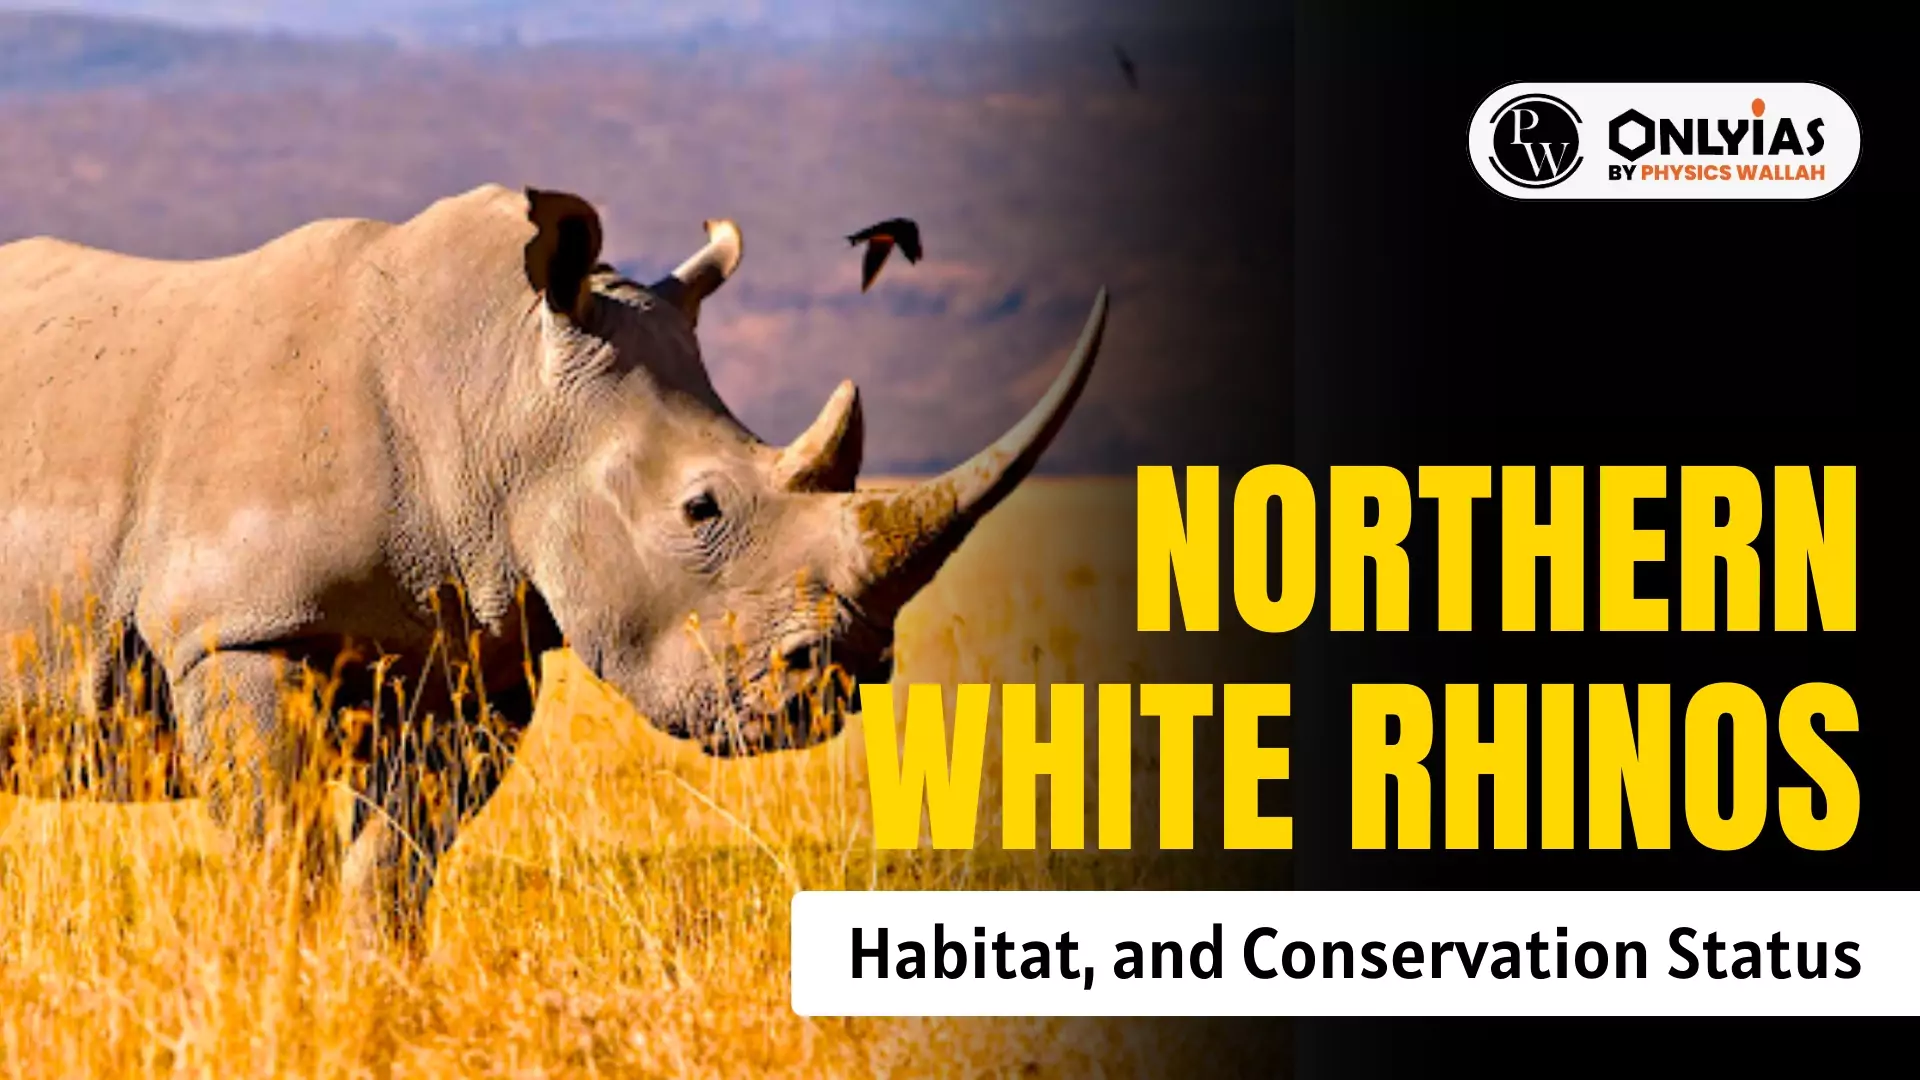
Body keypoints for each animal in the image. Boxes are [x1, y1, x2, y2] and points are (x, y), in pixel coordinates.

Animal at [0, 183, 1106, 943]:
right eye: (700, 508)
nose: (838, 680)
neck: (495, 387)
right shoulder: (239, 629)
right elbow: (284, 849)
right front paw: (286, 974)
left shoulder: (474, 656)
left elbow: (395, 862)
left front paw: (375, 986)